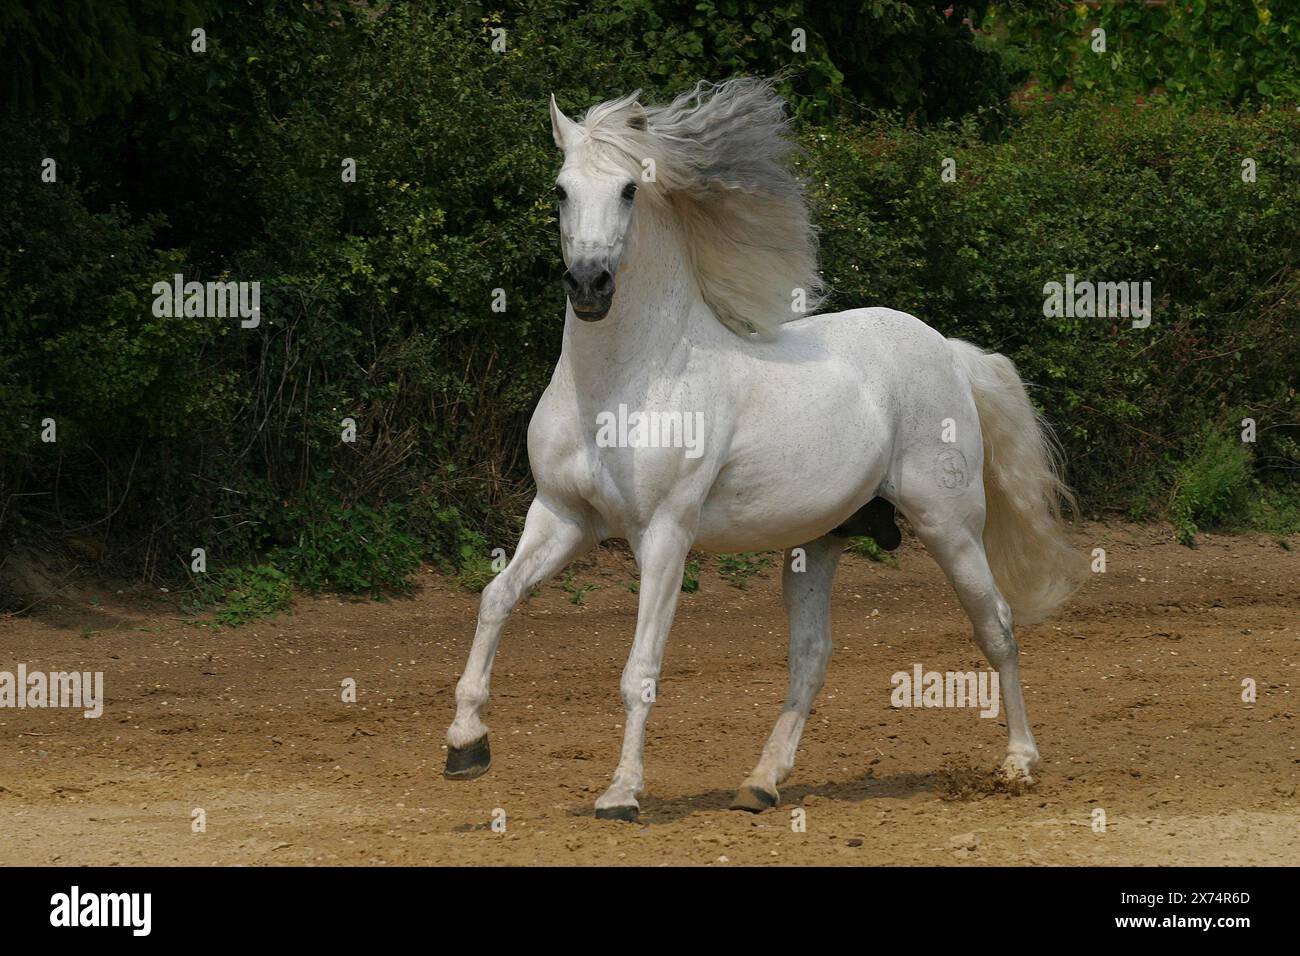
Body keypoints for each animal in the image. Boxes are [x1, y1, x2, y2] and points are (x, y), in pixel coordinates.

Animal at [444, 77, 1083, 821]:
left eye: (630, 189)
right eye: (559, 189)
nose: (590, 284)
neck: (624, 381)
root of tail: (950, 353)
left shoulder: (664, 534)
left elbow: (640, 670)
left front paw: (622, 792)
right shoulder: (562, 518)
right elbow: (495, 599)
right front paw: (465, 746)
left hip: (949, 525)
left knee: (998, 627)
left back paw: (1019, 763)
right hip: (821, 542)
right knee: (811, 657)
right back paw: (761, 782)